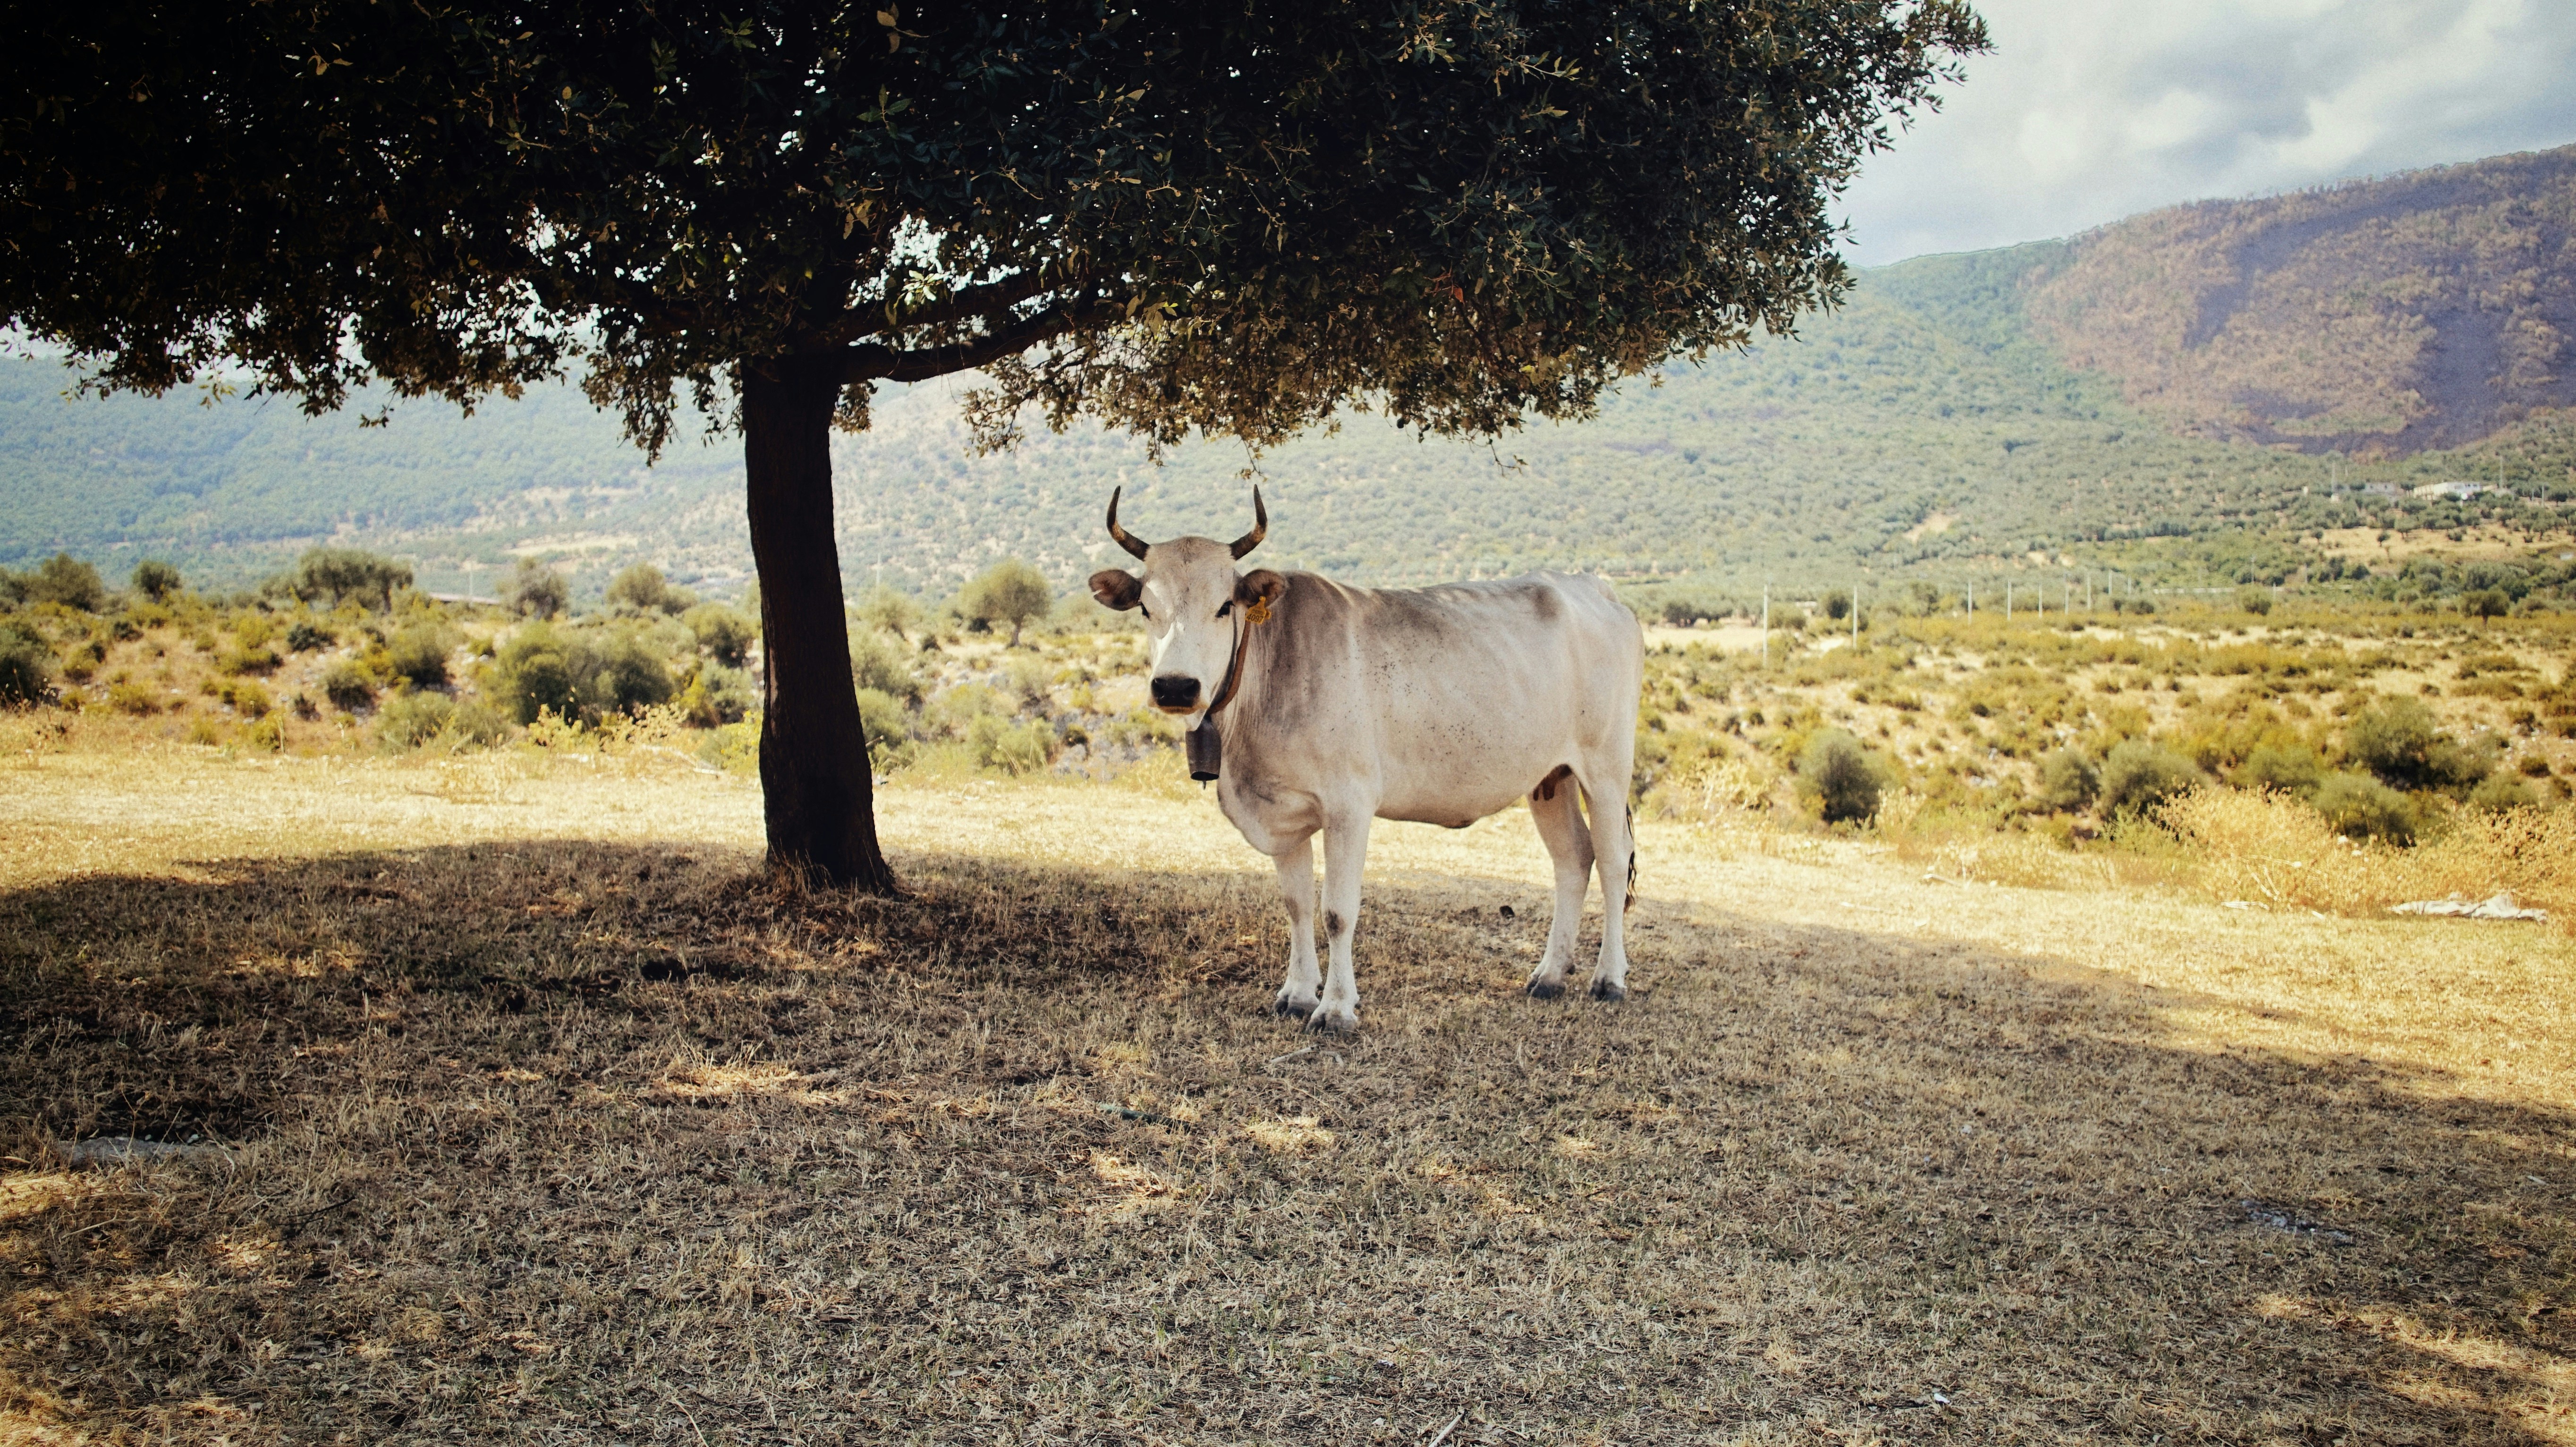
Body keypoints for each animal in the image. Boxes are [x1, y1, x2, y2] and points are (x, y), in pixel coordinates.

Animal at [1088, 488, 1643, 1032]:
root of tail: (1591, 586)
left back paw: (1610, 980)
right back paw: (1550, 975)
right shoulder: (1282, 810)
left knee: (1614, 859)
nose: (1175, 686)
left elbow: (1337, 911)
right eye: (1145, 609)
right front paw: (1296, 994)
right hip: (1551, 776)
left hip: (1607, 767)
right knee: (1573, 858)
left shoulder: (1349, 805)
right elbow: (1296, 904)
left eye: (1225, 606)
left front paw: (1335, 1008)